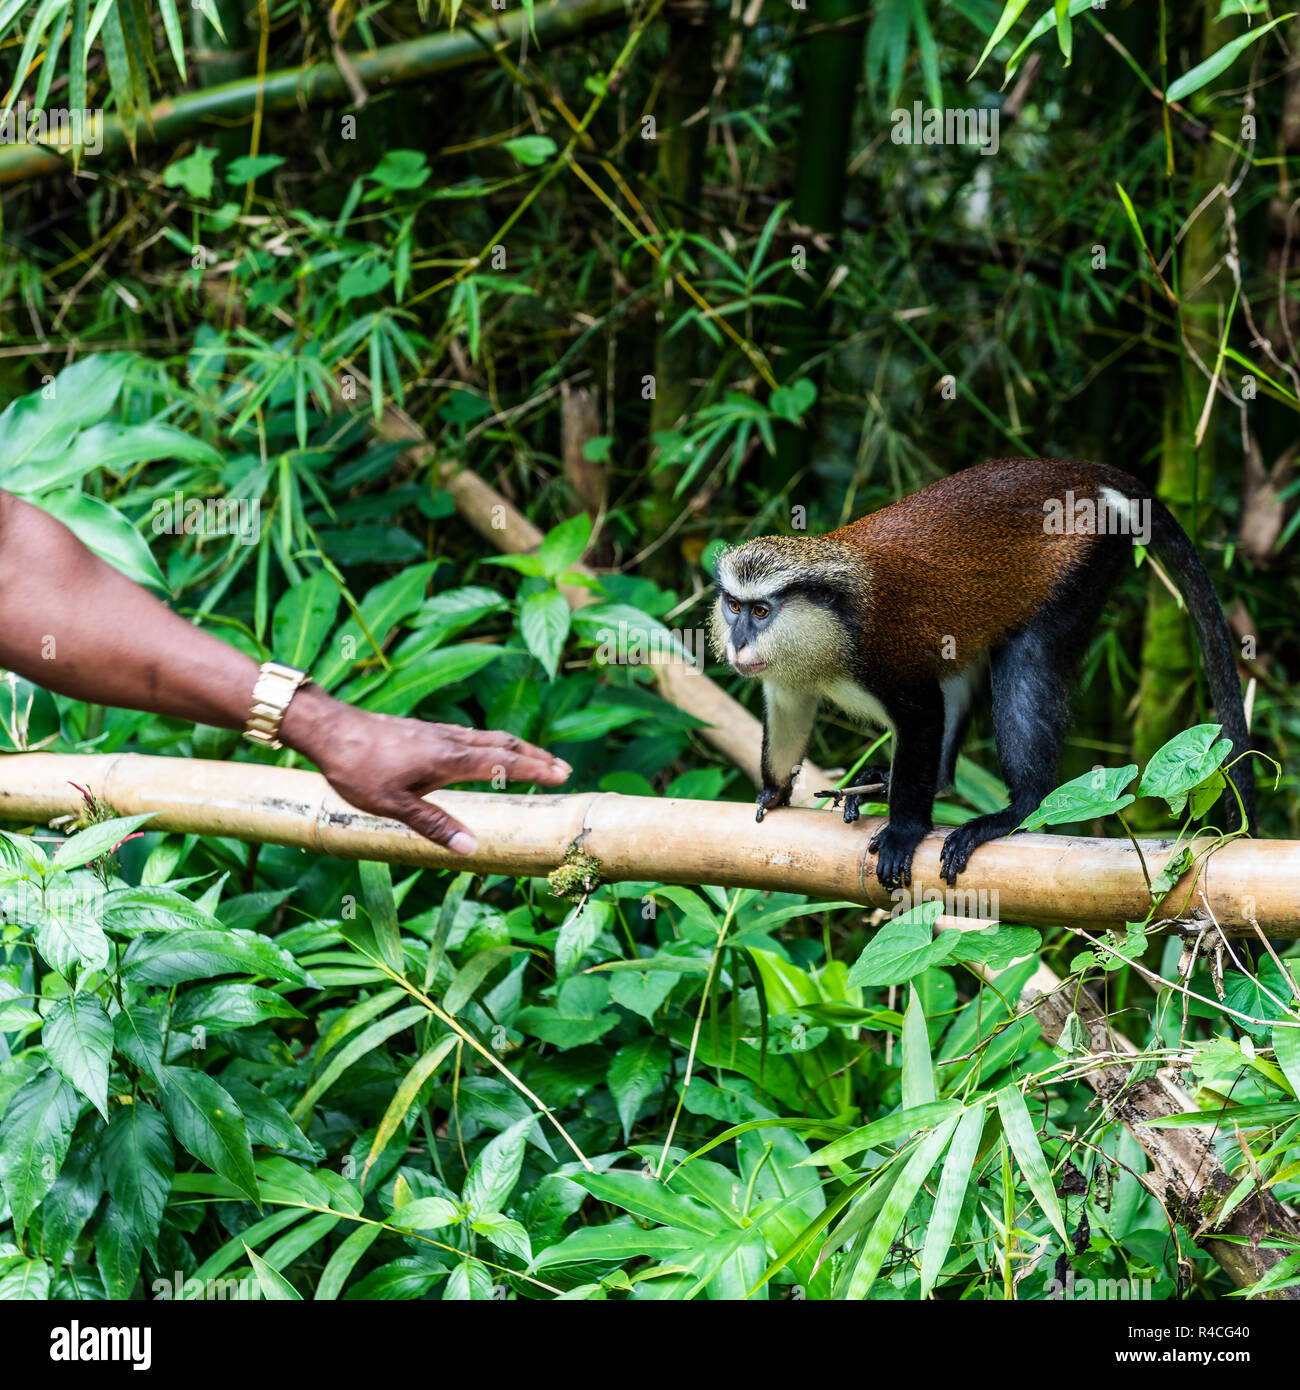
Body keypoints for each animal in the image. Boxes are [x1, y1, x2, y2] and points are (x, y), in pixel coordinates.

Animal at [711, 457, 1256, 890]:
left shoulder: (884, 655)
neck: (829, 629)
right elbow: (789, 711)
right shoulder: (787, 679)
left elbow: (924, 715)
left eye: (761, 612)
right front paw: (773, 792)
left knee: (1026, 659)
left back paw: (1019, 808)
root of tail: (1085, 473)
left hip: (1082, 563)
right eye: (734, 607)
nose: (738, 643)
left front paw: (904, 831)